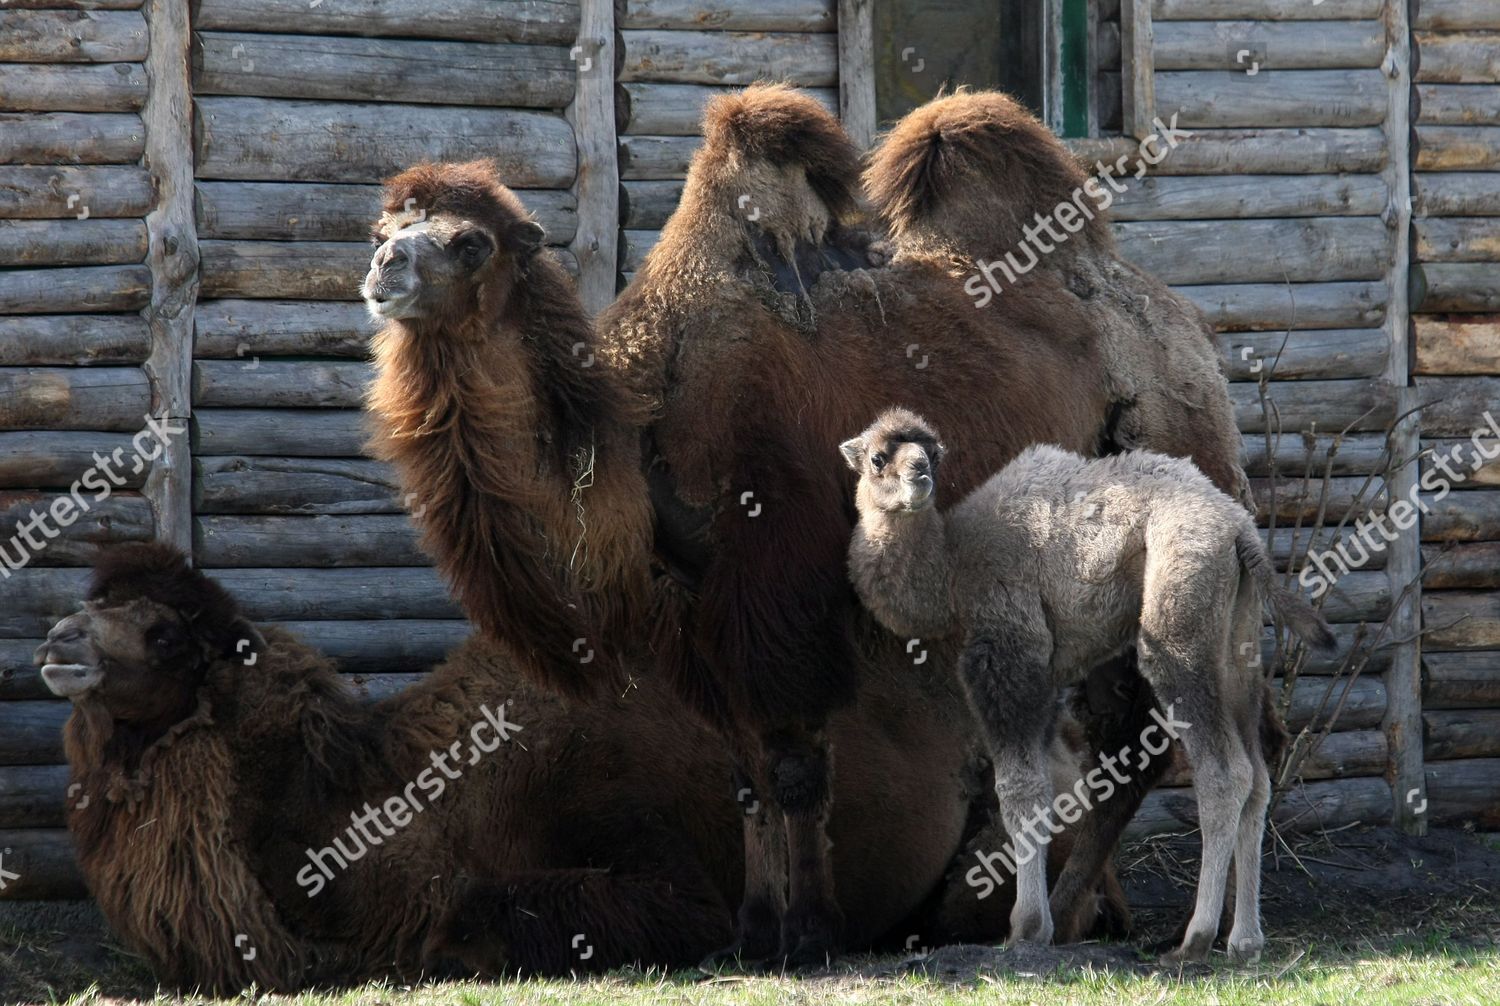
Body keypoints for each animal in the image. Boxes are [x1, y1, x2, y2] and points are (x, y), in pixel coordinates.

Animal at [361, 85, 1253, 968]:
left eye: (470, 241)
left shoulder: (779, 582)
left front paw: (814, 933)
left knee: (1142, 730)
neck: (649, 416)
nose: (381, 269)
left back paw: (1075, 919)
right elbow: (744, 775)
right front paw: (756, 935)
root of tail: (1185, 329)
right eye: (385, 229)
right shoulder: (695, 609)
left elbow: (795, 763)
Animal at [841, 408, 1336, 963]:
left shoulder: (1011, 651)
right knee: (1258, 773)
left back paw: (1194, 940)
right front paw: (1036, 925)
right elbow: (1043, 787)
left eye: (932, 453)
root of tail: (1239, 529)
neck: (952, 569)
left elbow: (1019, 790)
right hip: (1239, 643)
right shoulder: (1048, 677)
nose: (920, 473)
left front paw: (1026, 928)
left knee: (1224, 771)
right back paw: (1246, 940)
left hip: (1179, 614)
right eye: (878, 457)